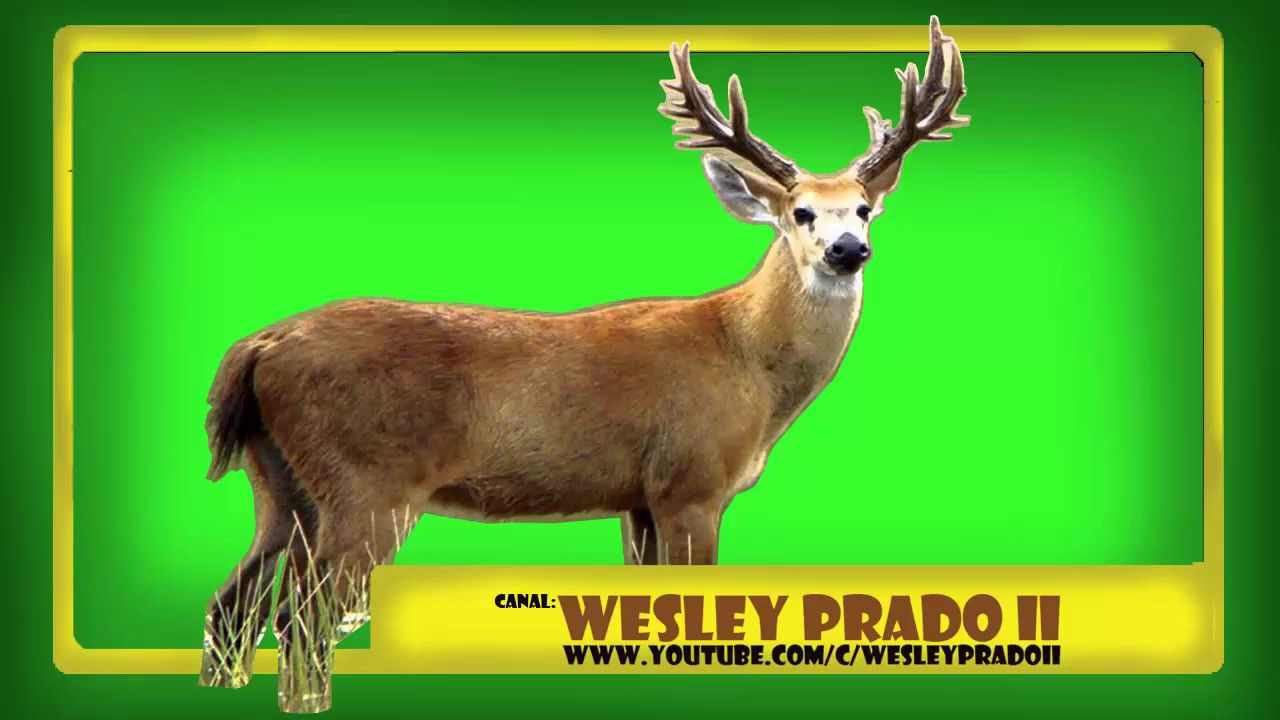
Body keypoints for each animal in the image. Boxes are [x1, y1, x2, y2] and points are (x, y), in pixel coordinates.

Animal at [197, 17, 968, 712]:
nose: (848, 250)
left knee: (232, 606)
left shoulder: (639, 497)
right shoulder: (692, 480)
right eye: (802, 212)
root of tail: (259, 345)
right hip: (365, 483)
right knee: (301, 619)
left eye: (864, 209)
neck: (750, 365)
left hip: (278, 481)